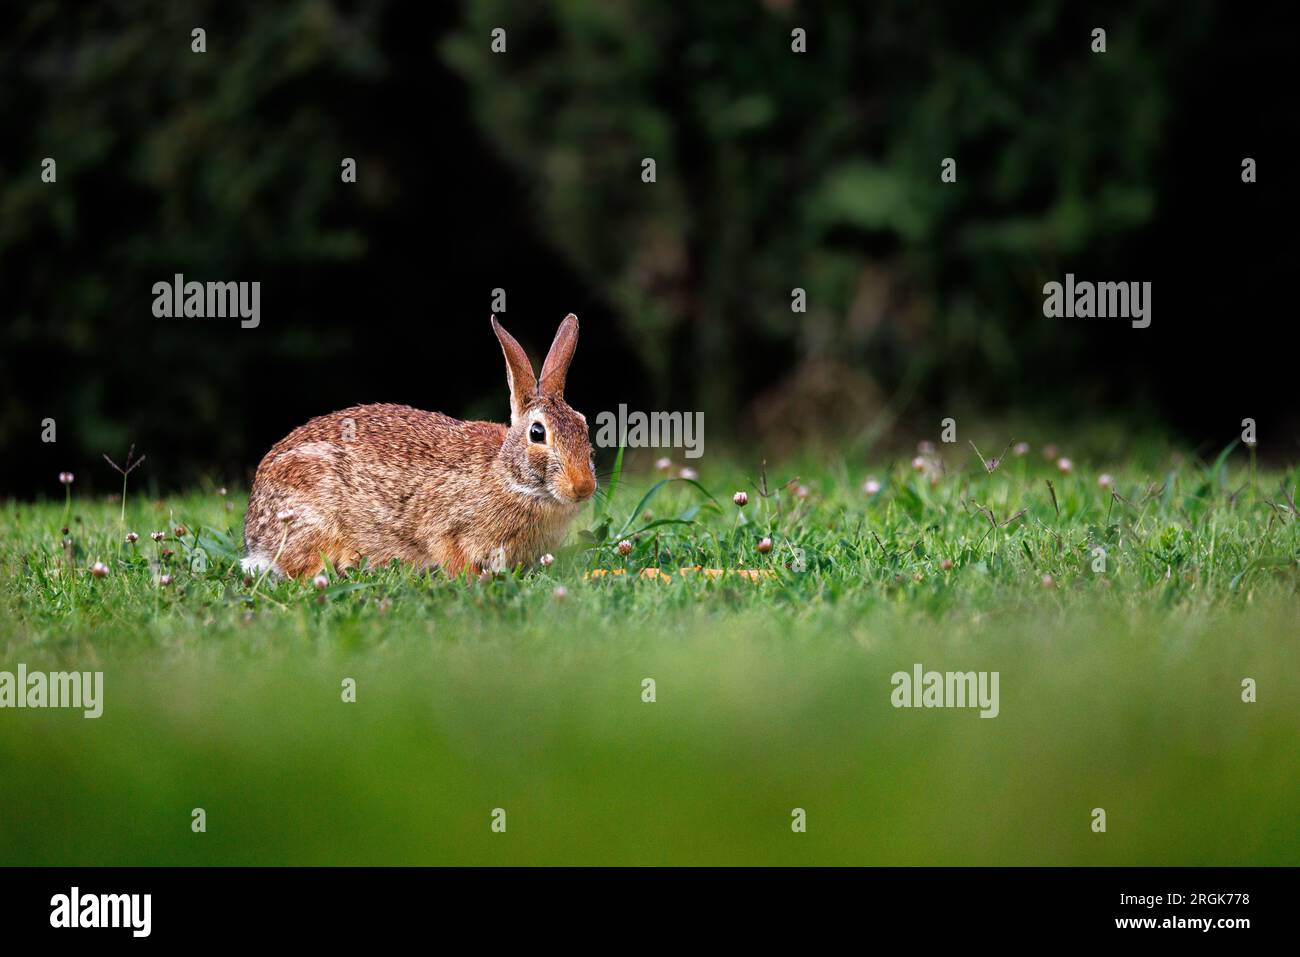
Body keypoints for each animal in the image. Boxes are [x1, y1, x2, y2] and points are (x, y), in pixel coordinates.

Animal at [241, 314, 596, 579]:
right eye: (537, 433)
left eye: (583, 425)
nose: (584, 487)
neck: (509, 477)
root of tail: (255, 535)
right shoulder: (442, 527)